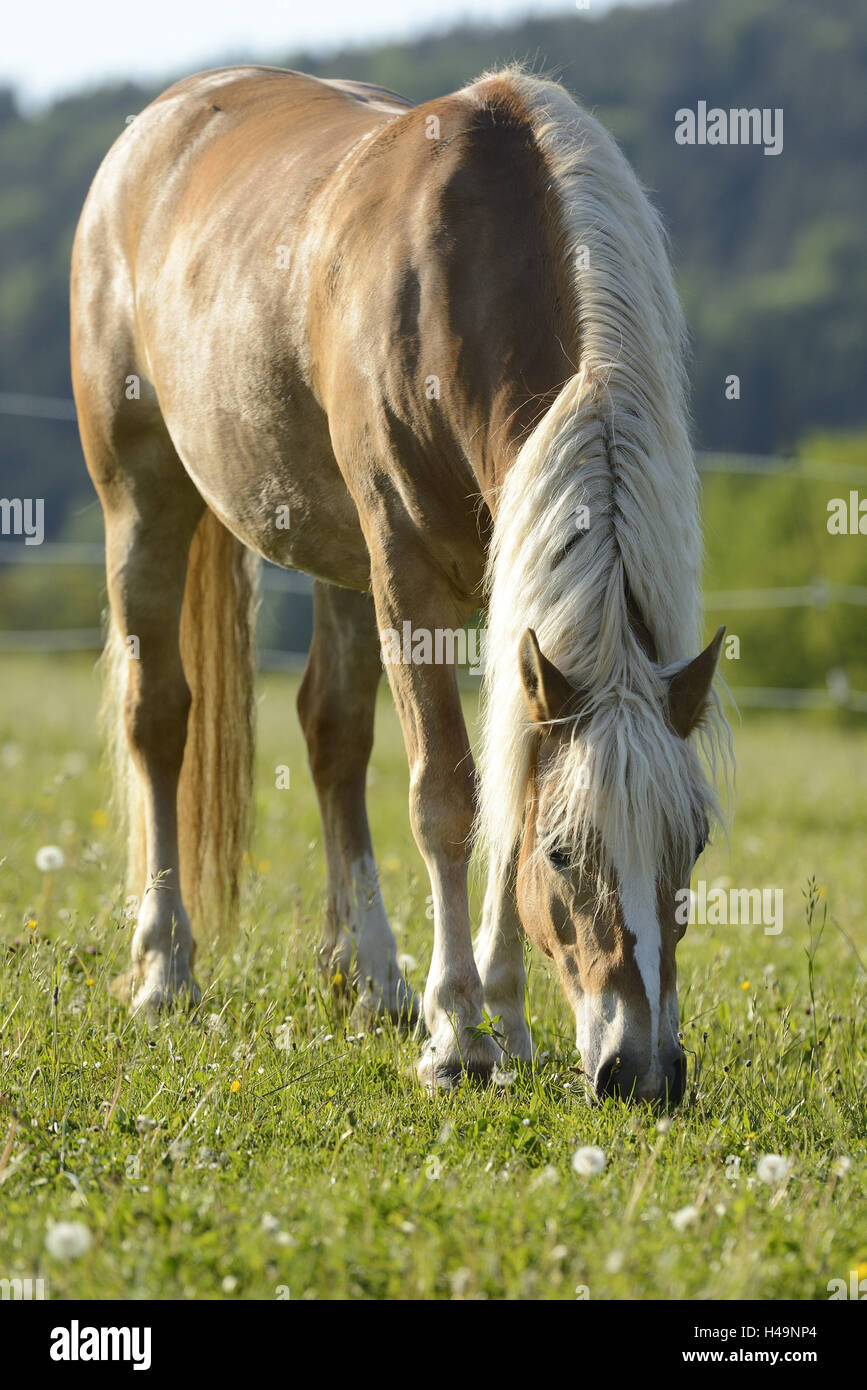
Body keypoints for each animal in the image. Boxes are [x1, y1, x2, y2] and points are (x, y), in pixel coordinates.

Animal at [71, 64, 730, 1104]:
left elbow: (497, 786)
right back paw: (166, 970)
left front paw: (505, 1019)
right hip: (143, 501)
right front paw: (458, 1032)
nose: (644, 1072)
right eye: (565, 853)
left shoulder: (506, 609)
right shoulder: (408, 581)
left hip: (340, 556)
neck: (469, 275)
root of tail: (163, 117)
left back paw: (369, 975)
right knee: (159, 719)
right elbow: (447, 799)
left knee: (333, 734)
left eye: (691, 843)